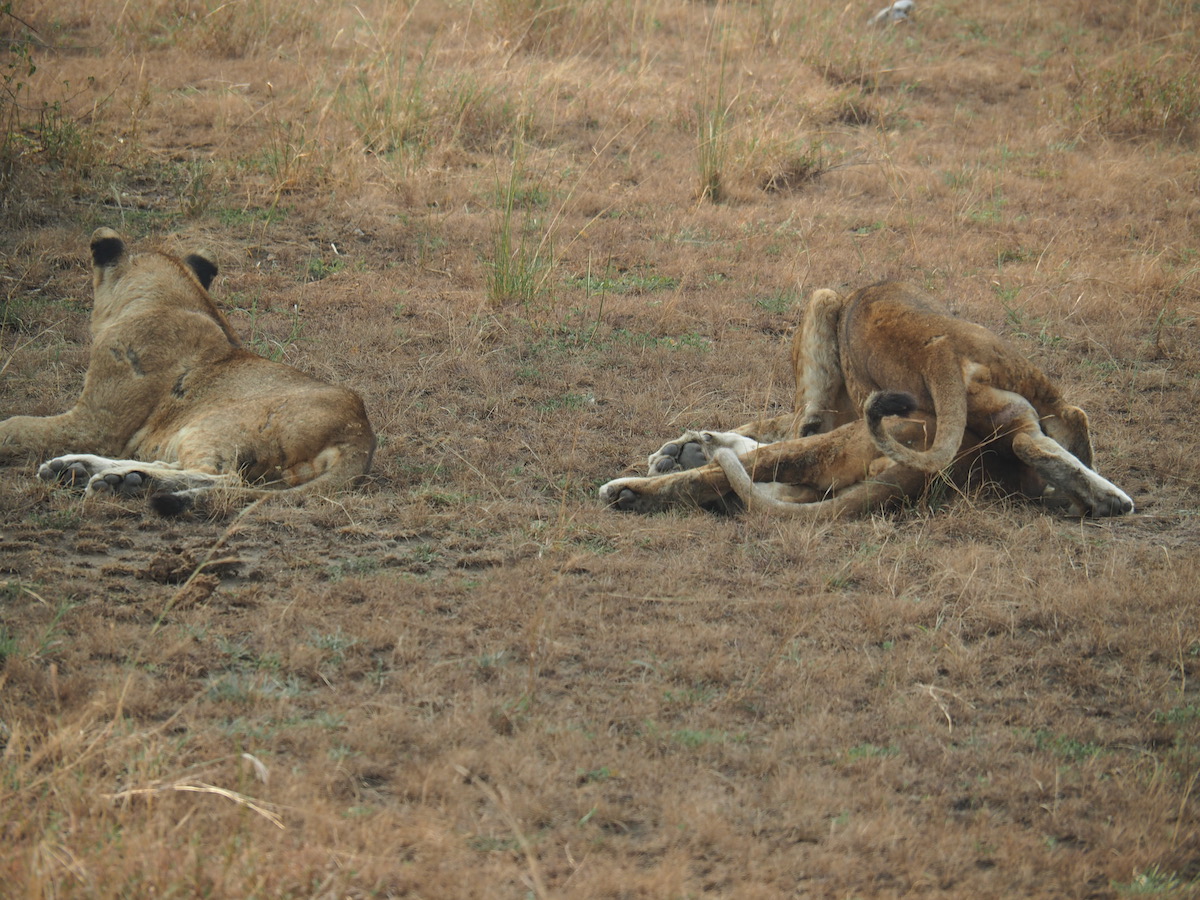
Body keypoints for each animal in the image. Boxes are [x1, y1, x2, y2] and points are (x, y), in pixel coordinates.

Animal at [0, 228, 376, 514]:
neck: (177, 299)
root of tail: (362, 435)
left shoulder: (95, 425)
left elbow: (16, 426)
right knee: (178, 467)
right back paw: (83, 471)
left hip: (212, 426)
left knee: (224, 479)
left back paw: (122, 483)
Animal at [600, 282, 1133, 519]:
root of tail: (940, 350)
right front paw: (687, 445)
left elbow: (774, 426)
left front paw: (686, 447)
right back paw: (1097, 495)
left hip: (825, 309)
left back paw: (635, 487)